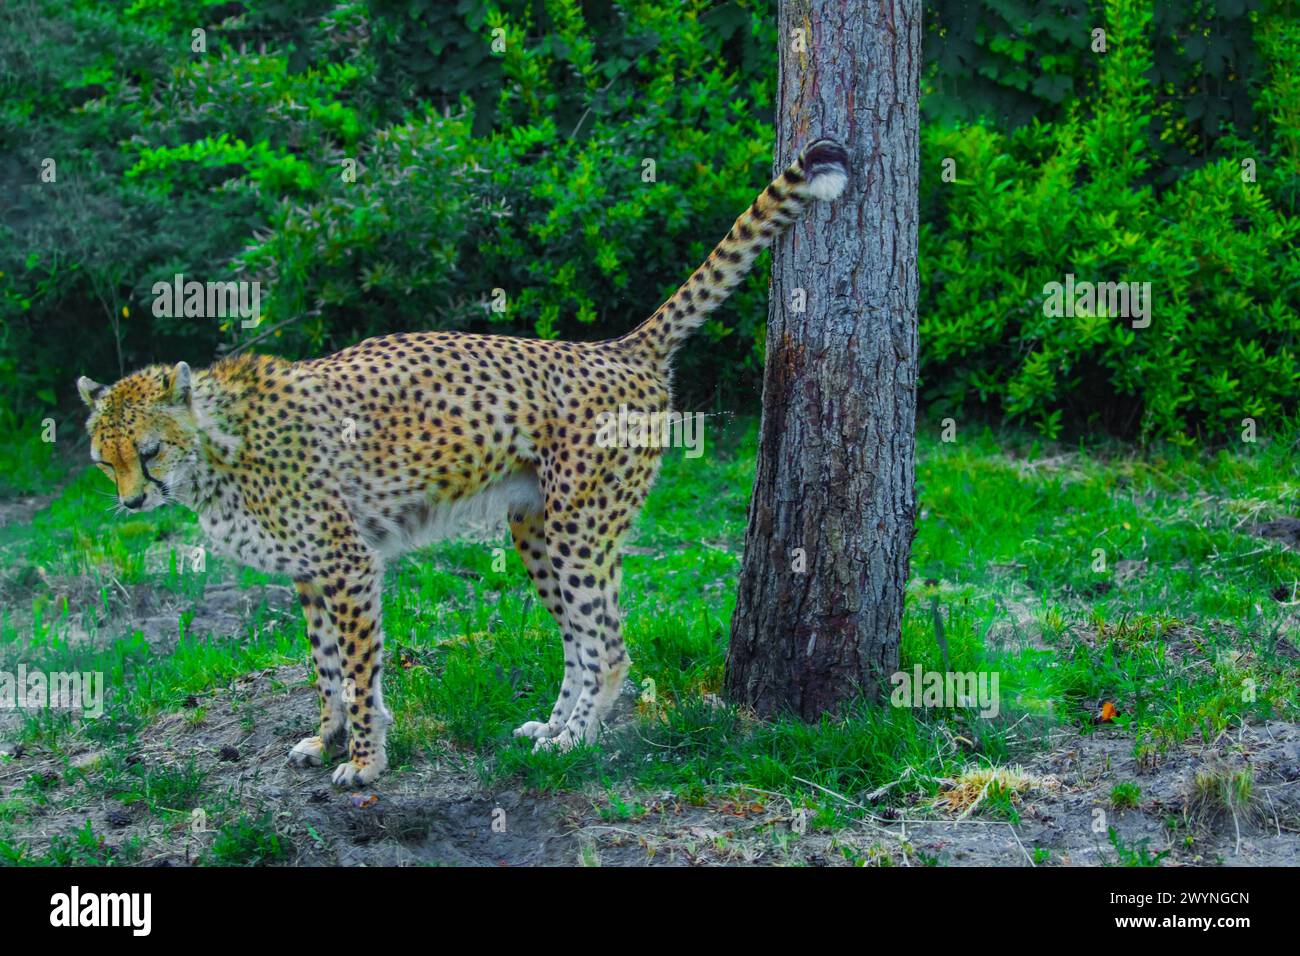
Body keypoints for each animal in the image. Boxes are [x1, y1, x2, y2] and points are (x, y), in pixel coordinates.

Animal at [78, 139, 850, 786]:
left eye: (148, 451)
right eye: (103, 461)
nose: (130, 502)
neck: (213, 451)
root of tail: (617, 346)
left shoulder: (347, 564)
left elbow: (356, 668)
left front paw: (365, 760)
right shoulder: (311, 574)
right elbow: (325, 667)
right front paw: (326, 738)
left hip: (580, 529)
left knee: (608, 645)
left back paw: (576, 741)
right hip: (536, 528)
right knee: (578, 638)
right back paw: (551, 728)